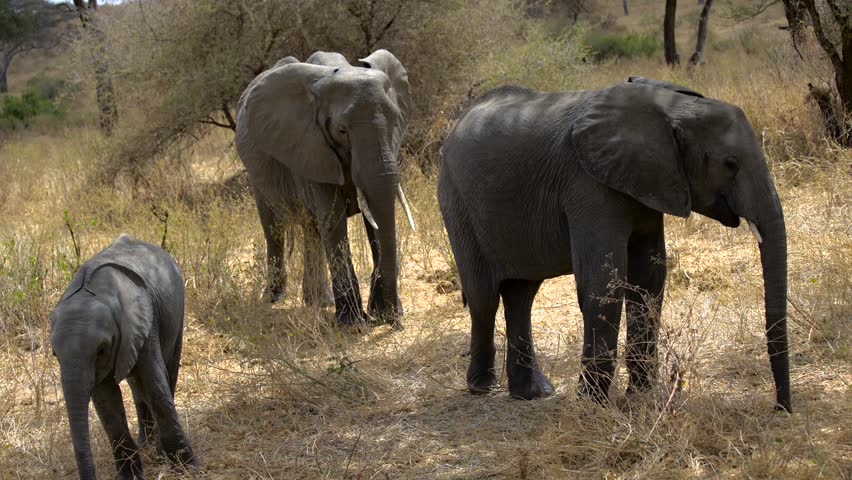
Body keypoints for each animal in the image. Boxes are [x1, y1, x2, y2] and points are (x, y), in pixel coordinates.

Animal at [51, 234, 197, 479]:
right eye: (55, 354)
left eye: (101, 350)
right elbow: (106, 399)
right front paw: (130, 476)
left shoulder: (142, 324)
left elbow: (154, 384)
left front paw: (188, 468)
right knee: (136, 388)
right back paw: (146, 445)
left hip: (177, 313)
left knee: (167, 373)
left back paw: (159, 454)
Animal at [235, 49, 415, 329]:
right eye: (342, 130)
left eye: (396, 122)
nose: (394, 323)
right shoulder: (310, 148)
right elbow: (334, 218)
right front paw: (353, 326)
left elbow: (372, 219)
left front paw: (382, 314)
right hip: (256, 171)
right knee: (274, 226)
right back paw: (274, 299)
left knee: (311, 228)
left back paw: (318, 302)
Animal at [438, 77, 791, 412]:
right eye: (730, 164)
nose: (780, 408)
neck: (670, 107)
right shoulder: (588, 184)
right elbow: (604, 282)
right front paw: (592, 406)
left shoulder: (648, 184)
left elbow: (649, 279)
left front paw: (641, 399)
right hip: (456, 202)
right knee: (484, 298)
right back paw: (481, 388)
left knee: (520, 296)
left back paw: (534, 394)